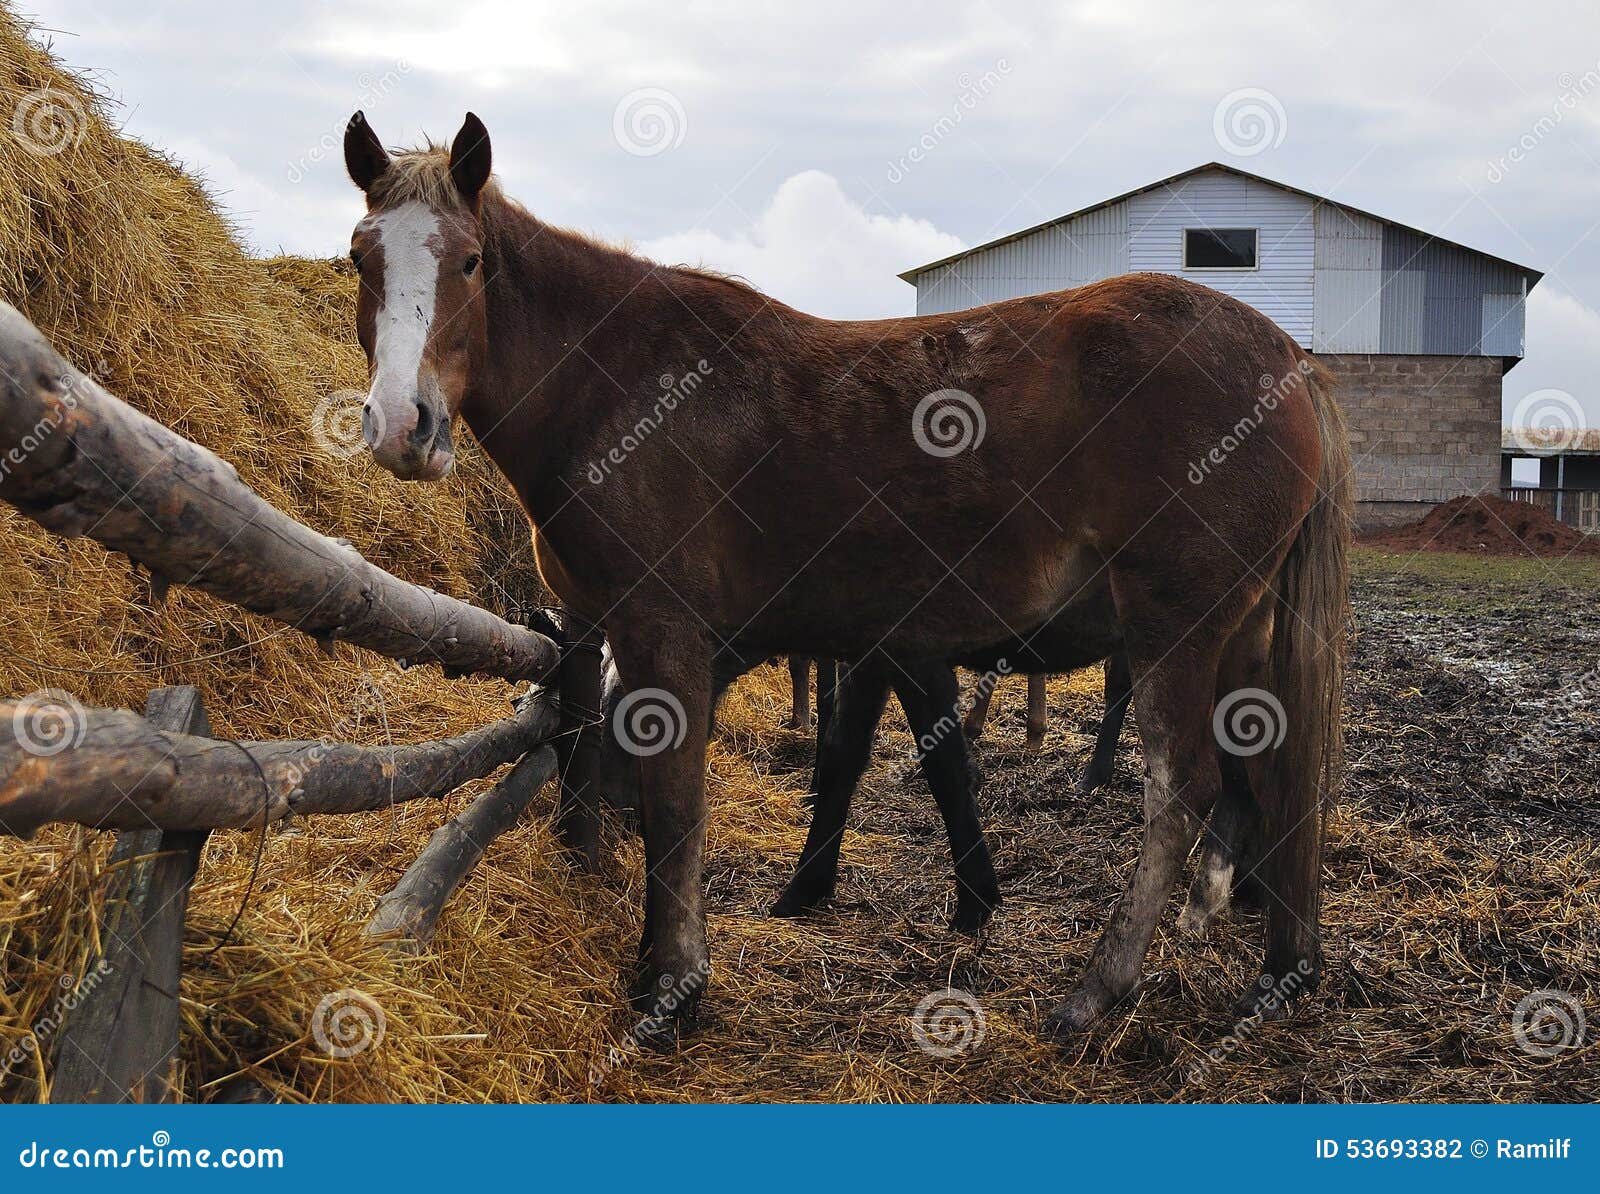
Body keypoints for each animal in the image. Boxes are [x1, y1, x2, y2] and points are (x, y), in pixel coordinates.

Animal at [342, 112, 1351, 1042]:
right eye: (361, 260)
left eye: (471, 262)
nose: (404, 425)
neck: (620, 388)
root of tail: (1287, 360)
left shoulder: (670, 633)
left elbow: (679, 803)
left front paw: (672, 986)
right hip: (1241, 633)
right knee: (1268, 768)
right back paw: (1277, 964)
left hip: (1176, 631)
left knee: (1181, 790)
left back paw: (1099, 988)